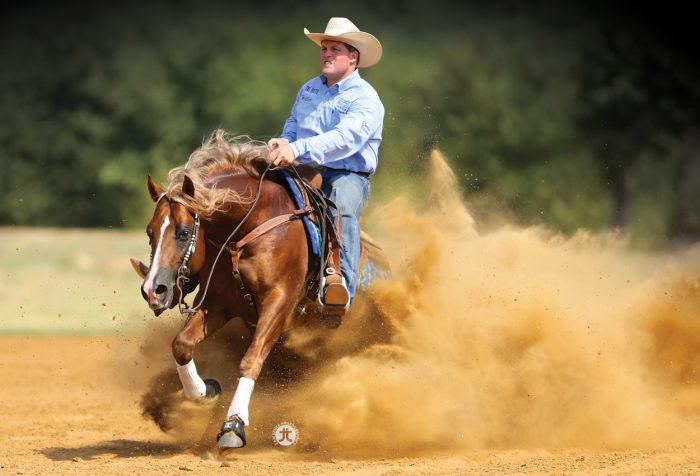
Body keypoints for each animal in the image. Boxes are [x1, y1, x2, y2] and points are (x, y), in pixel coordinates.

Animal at [130, 130, 390, 449]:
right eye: (150, 232)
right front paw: (206, 390)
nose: (154, 290)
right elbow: (181, 345)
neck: (248, 230)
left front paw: (233, 425)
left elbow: (251, 360)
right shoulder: (218, 304)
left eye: (183, 232)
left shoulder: (278, 302)